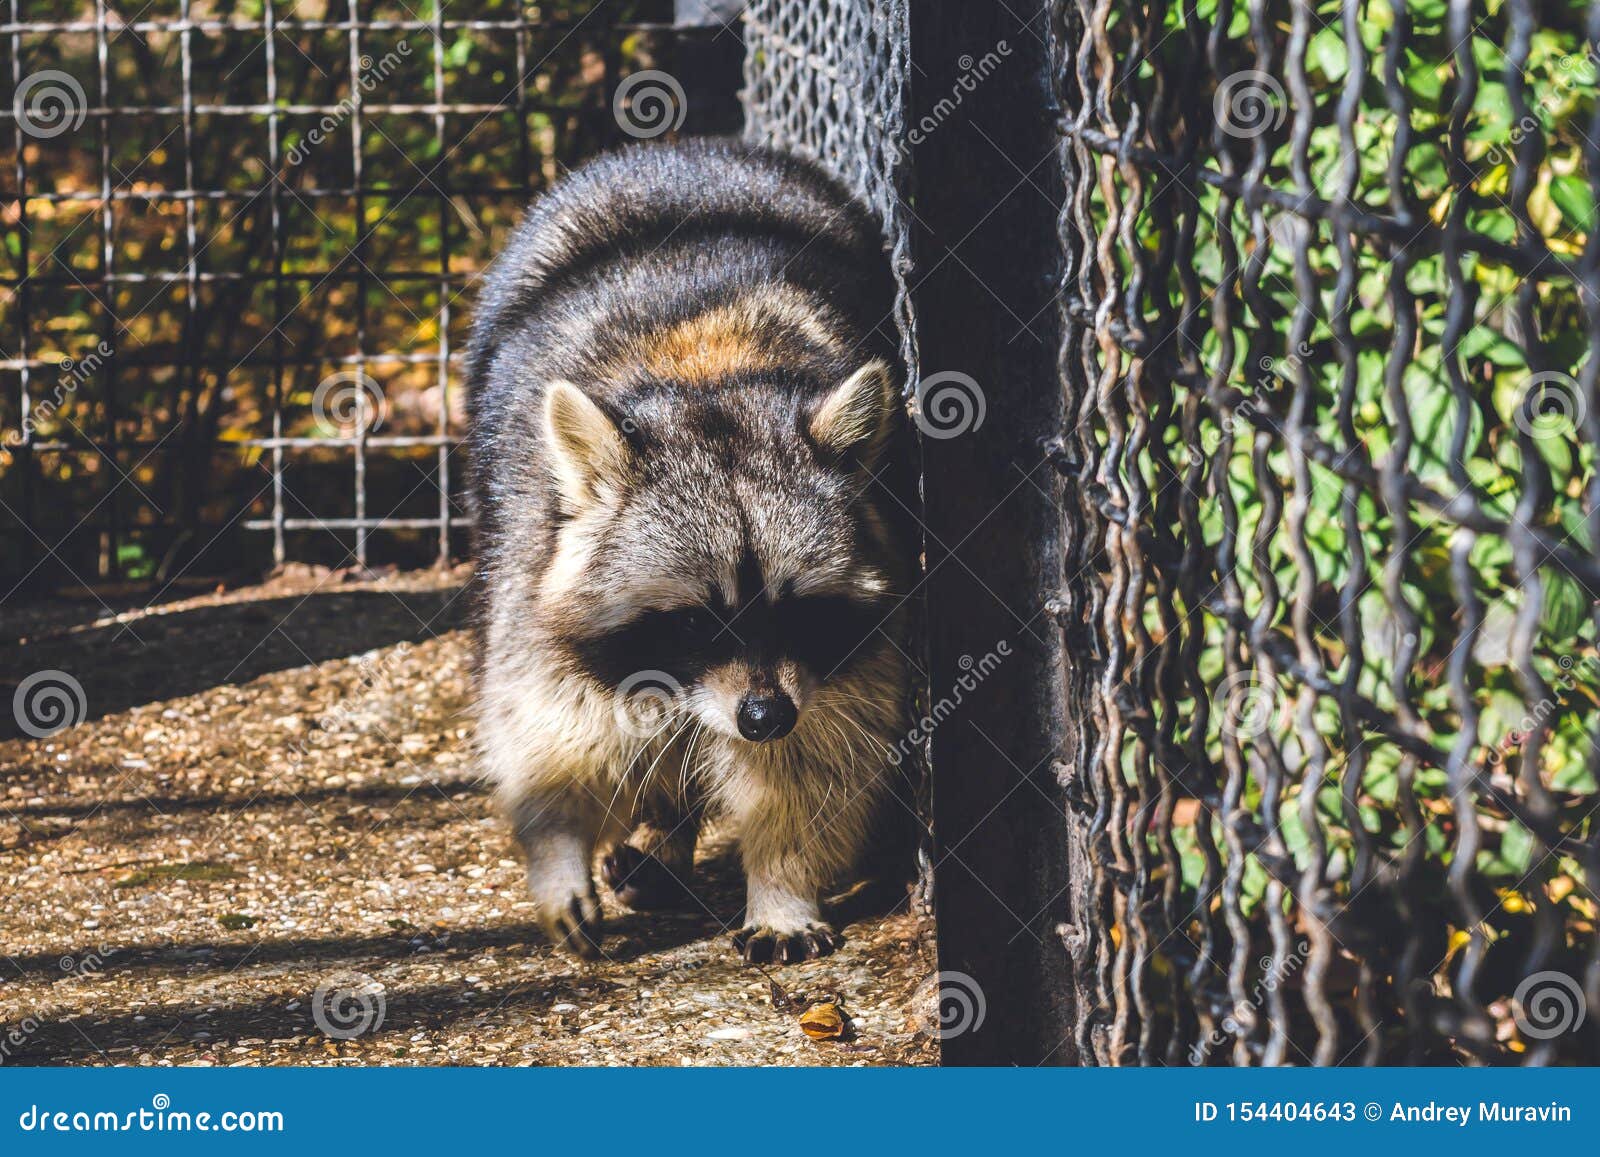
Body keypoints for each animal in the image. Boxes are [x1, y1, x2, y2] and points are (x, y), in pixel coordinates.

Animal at [466, 139, 914, 964]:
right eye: (700, 620)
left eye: (799, 610)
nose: (764, 715)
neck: (710, 376)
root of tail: (683, 147)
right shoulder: (533, 551)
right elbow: (549, 725)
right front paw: (556, 844)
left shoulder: (853, 644)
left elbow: (814, 764)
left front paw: (781, 883)